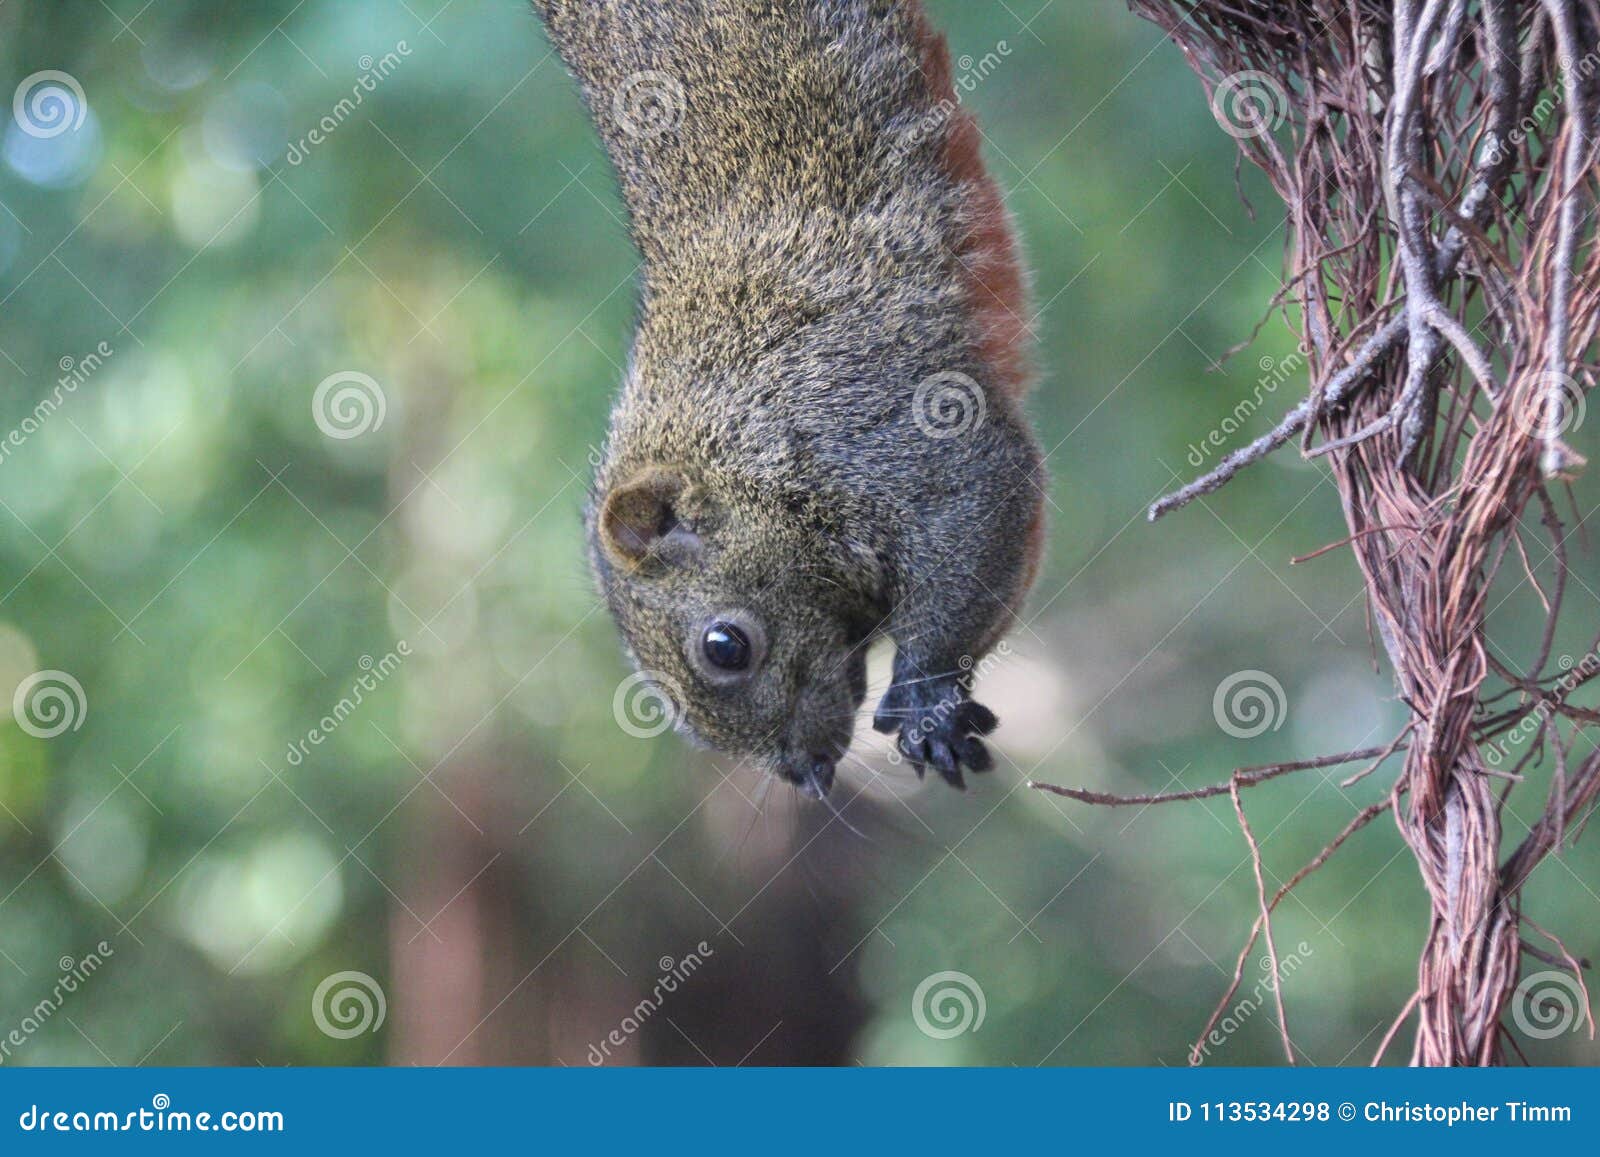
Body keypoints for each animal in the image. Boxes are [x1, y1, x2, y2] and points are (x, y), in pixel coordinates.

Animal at [533, 0, 1046, 797]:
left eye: (725, 646)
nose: (806, 775)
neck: (741, 448)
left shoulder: (886, 418)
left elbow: (978, 509)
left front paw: (925, 697)